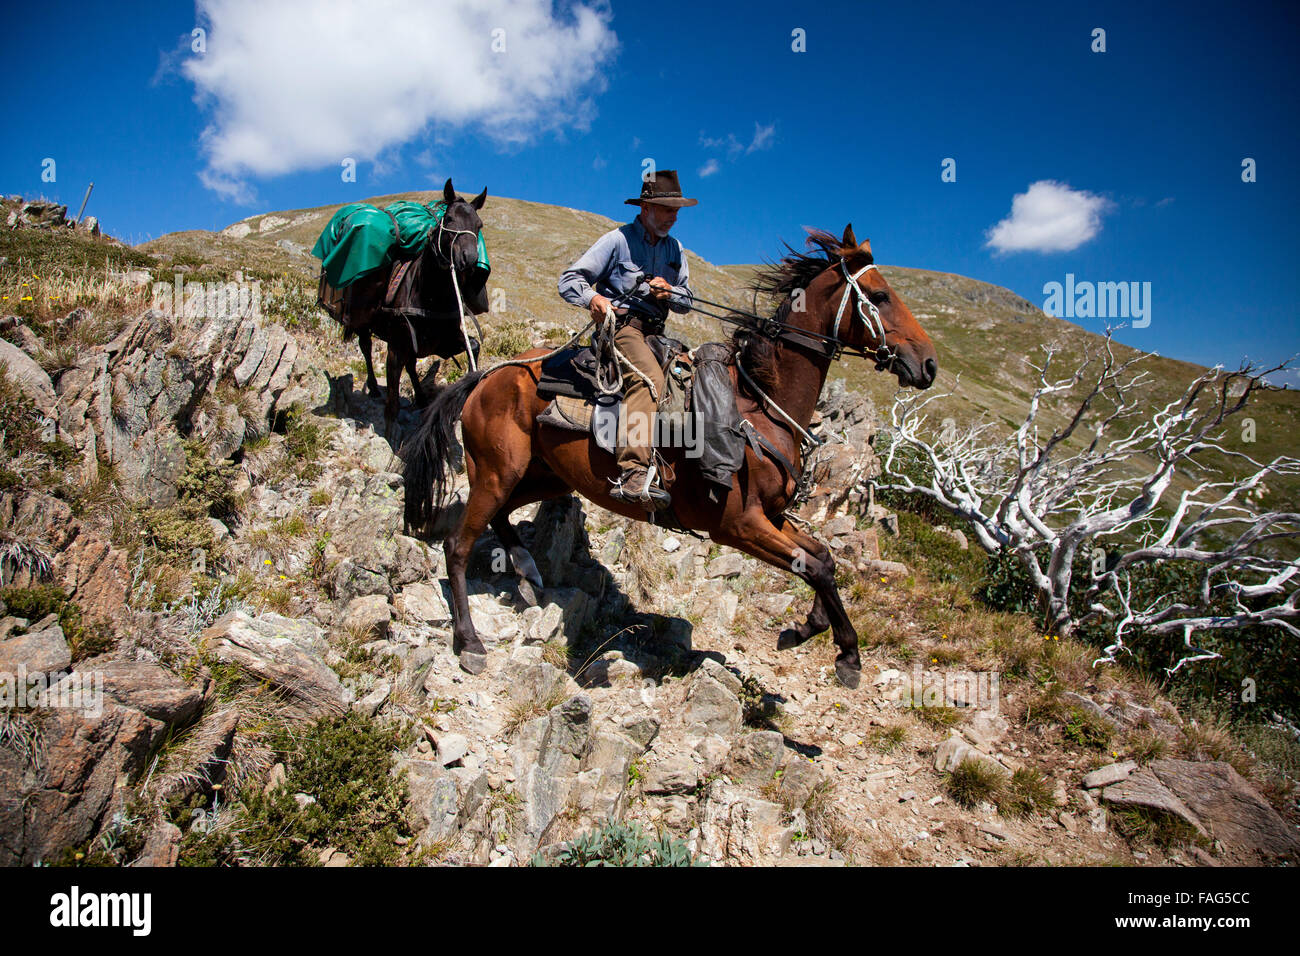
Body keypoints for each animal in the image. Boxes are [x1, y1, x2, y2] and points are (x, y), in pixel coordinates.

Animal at [327, 178, 489, 436]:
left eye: (479, 224)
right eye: (449, 219)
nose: (470, 260)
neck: (431, 297)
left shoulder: (443, 341)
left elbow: (472, 345)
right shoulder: (396, 347)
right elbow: (392, 397)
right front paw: (390, 434)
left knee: (411, 365)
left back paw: (421, 398)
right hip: (364, 325)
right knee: (366, 348)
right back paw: (374, 387)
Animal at [401, 224, 938, 687]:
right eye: (882, 296)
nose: (928, 364)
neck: (758, 406)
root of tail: (490, 374)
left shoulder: (772, 516)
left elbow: (822, 557)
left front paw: (810, 630)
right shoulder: (737, 525)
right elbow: (818, 566)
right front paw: (845, 655)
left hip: (543, 476)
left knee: (502, 517)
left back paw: (528, 574)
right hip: (499, 472)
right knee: (457, 545)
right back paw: (470, 642)